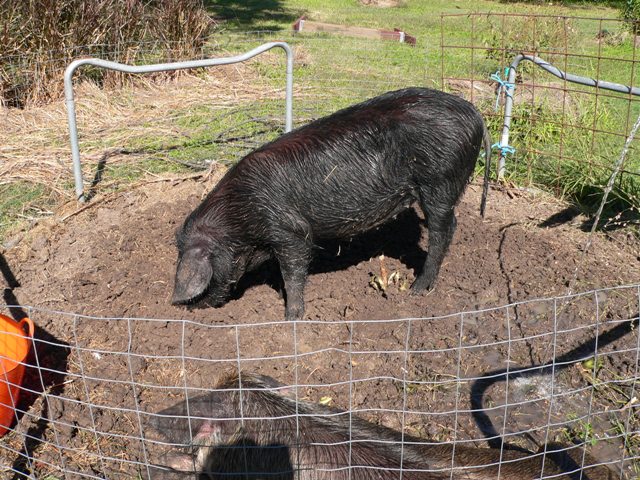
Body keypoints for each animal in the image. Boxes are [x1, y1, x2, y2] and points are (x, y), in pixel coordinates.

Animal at [172, 87, 492, 320]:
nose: (185, 308)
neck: (238, 218)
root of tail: (475, 114)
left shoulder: (290, 231)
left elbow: (293, 271)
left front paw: (292, 317)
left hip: (440, 182)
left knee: (444, 230)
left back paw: (417, 290)